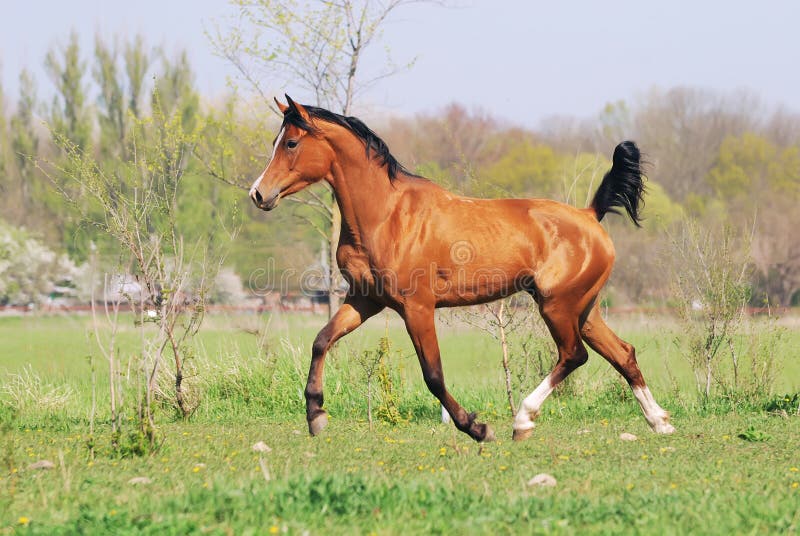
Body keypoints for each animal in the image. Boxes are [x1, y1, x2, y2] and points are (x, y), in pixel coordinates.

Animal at [249, 95, 676, 442]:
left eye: (291, 142)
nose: (258, 193)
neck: (387, 215)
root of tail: (589, 216)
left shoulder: (416, 308)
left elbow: (433, 375)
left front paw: (476, 427)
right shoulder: (365, 300)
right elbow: (322, 340)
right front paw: (315, 415)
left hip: (557, 307)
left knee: (574, 355)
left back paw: (522, 420)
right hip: (583, 309)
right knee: (623, 353)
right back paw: (659, 421)